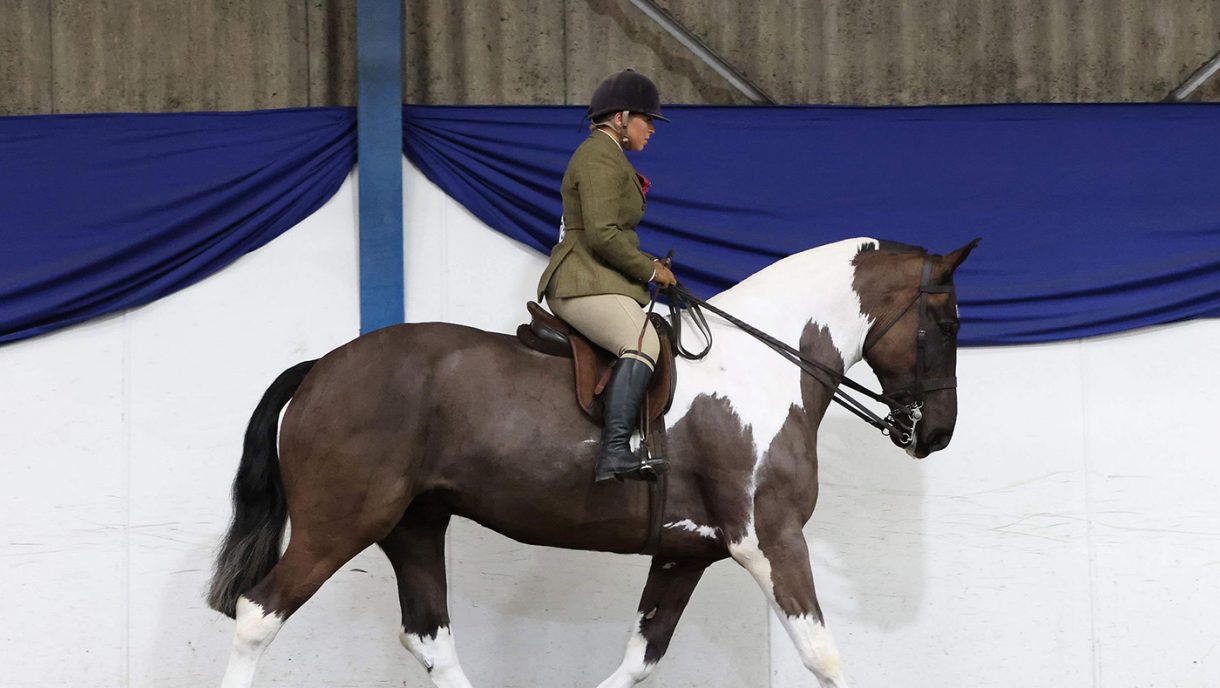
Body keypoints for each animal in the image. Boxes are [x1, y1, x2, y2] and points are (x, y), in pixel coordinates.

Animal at [207, 236, 978, 688]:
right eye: (947, 323)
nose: (936, 434)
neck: (765, 365)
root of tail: (320, 369)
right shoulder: (771, 540)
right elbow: (824, 657)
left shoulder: (684, 553)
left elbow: (639, 661)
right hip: (339, 523)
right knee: (256, 616)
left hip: (414, 525)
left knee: (432, 639)